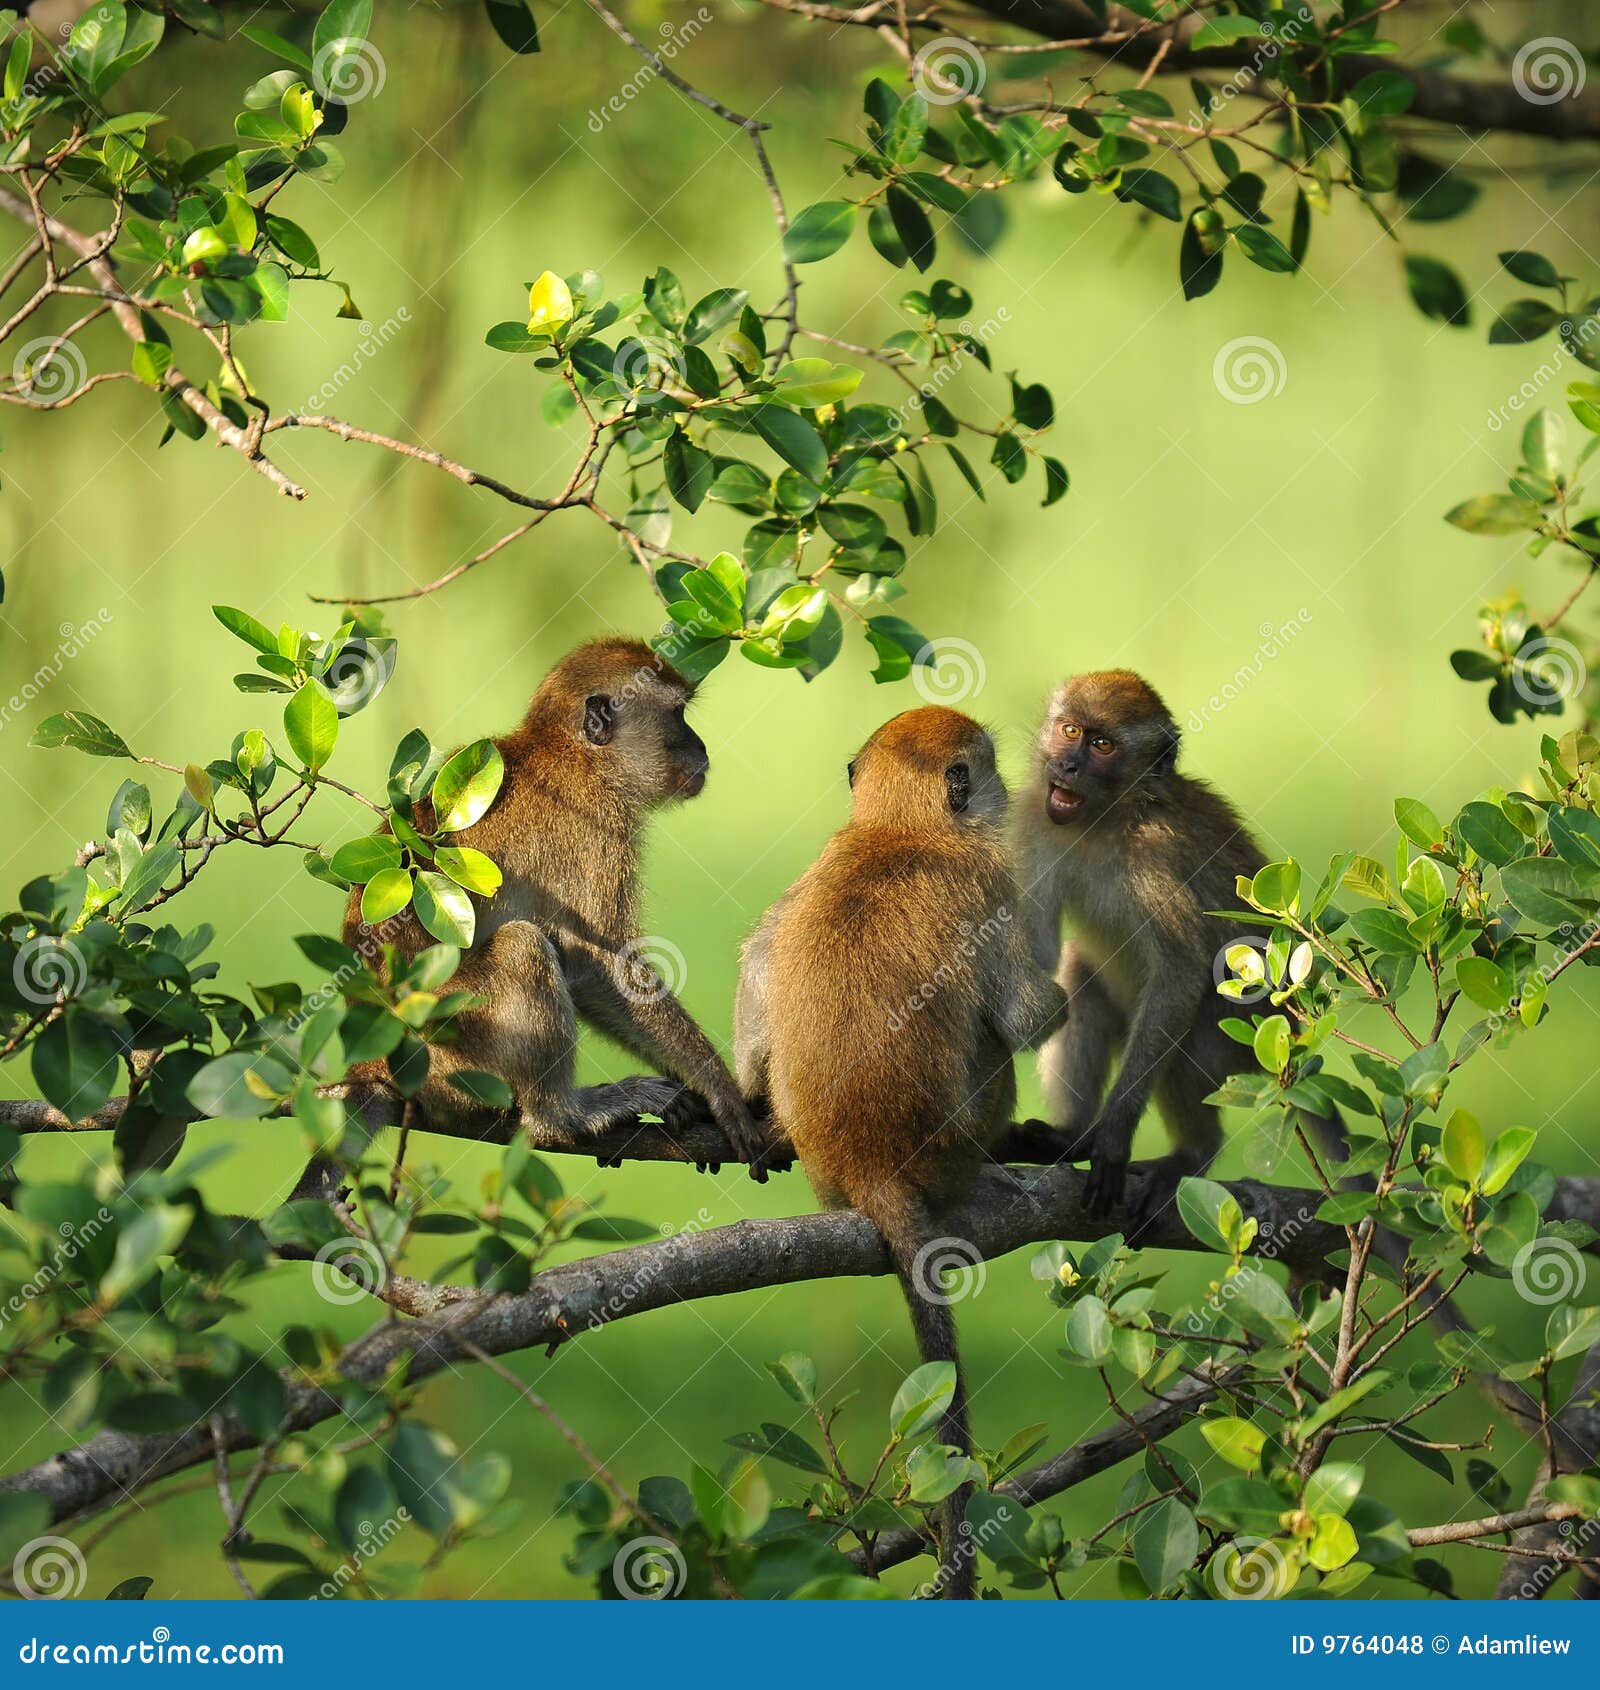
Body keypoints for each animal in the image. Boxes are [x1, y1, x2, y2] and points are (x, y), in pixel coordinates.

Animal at [342, 636, 768, 1177]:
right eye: (678, 715)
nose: (701, 748)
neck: (575, 753)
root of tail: (374, 1066)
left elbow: (589, 972)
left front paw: (699, 1094)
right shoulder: (599, 826)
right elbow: (607, 962)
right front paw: (721, 1091)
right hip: (452, 1050)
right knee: (523, 945)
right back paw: (561, 1117)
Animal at [736, 706, 1069, 1597]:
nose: (1006, 788)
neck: (897, 830)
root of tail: (868, 1159)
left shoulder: (826, 852)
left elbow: (759, 968)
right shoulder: (988, 882)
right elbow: (1028, 1018)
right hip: (954, 1140)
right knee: (994, 1041)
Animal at [1013, 669, 1300, 1228]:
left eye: (1103, 746)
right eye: (1070, 731)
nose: (1068, 765)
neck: (1104, 822)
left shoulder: (1157, 859)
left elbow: (1181, 973)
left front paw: (1113, 1137)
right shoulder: (1036, 824)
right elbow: (1040, 959)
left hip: (1248, 1041)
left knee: (1187, 1031)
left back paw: (1190, 1155)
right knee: (1079, 978)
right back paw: (1070, 1135)